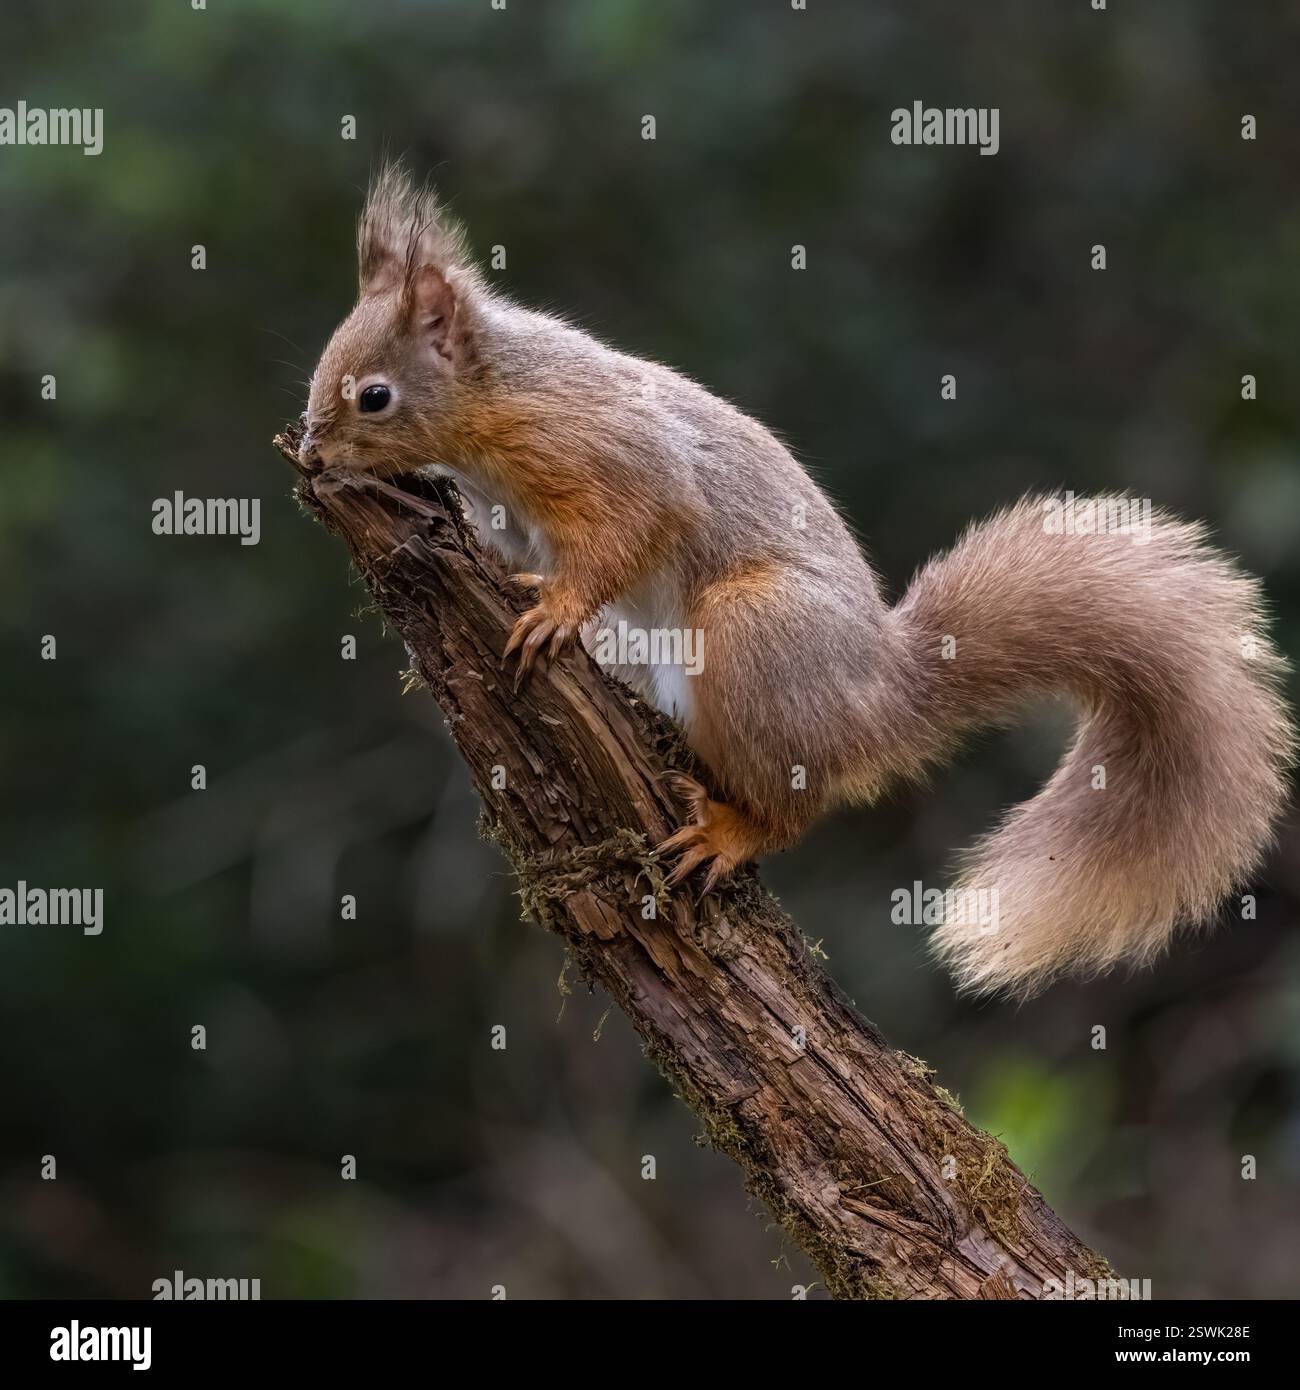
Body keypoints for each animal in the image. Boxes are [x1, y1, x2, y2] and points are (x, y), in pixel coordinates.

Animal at [301, 164, 1294, 997]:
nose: (309, 454)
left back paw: (727, 831)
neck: (499, 395)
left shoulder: (608, 455)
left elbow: (628, 532)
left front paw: (556, 611)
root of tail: (873, 701)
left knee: (795, 806)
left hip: (756, 634)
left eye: (375, 395)